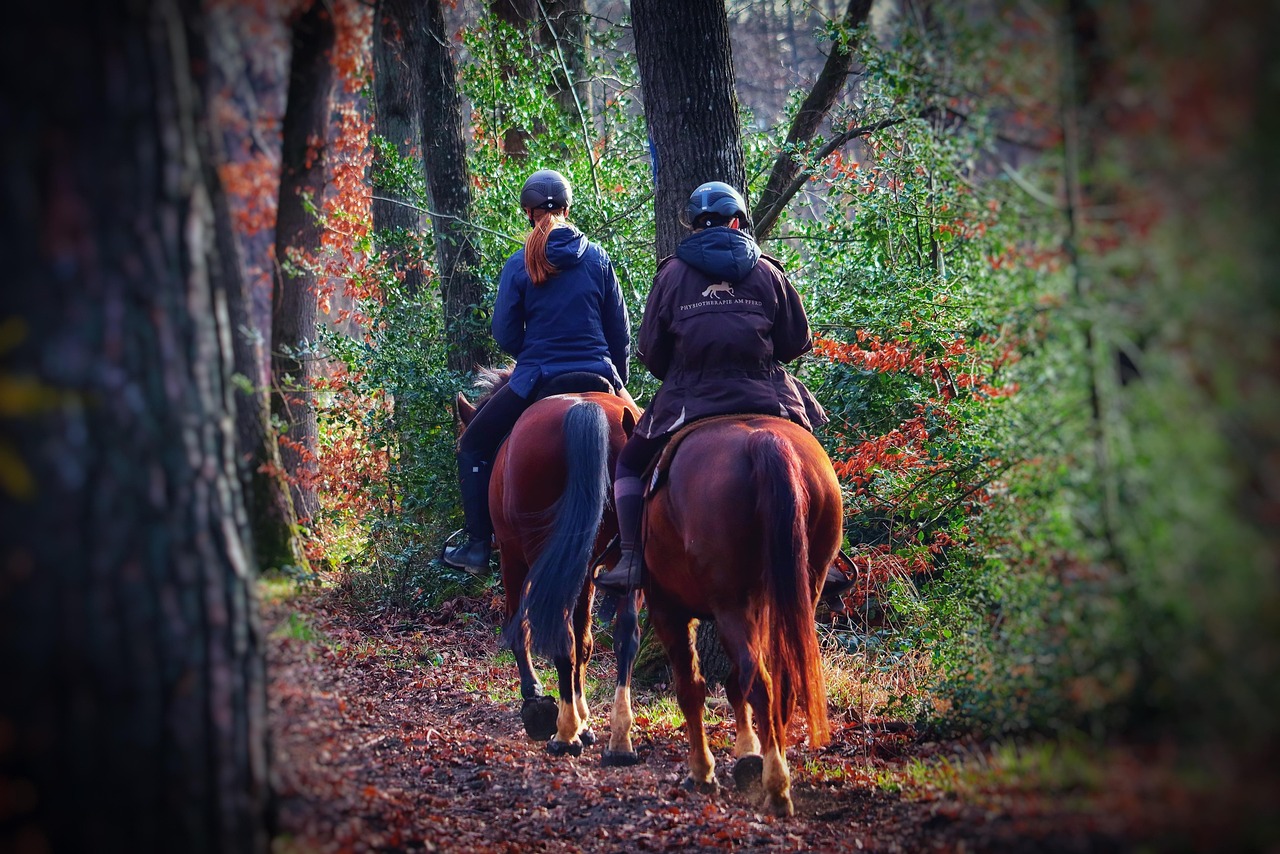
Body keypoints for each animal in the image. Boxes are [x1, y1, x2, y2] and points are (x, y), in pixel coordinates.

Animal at [454, 368, 645, 763]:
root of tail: (586, 411)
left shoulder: (512, 556)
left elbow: (518, 627)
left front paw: (537, 701)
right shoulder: (583, 569)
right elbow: (585, 642)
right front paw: (585, 720)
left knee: (558, 633)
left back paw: (564, 734)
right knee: (624, 636)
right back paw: (618, 739)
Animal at [638, 414, 843, 816]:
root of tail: (764, 441)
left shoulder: (668, 610)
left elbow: (691, 688)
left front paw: (702, 771)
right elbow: (735, 684)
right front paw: (748, 750)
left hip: (729, 604)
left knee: (761, 683)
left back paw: (776, 786)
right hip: (800, 590)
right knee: (781, 680)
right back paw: (773, 765)